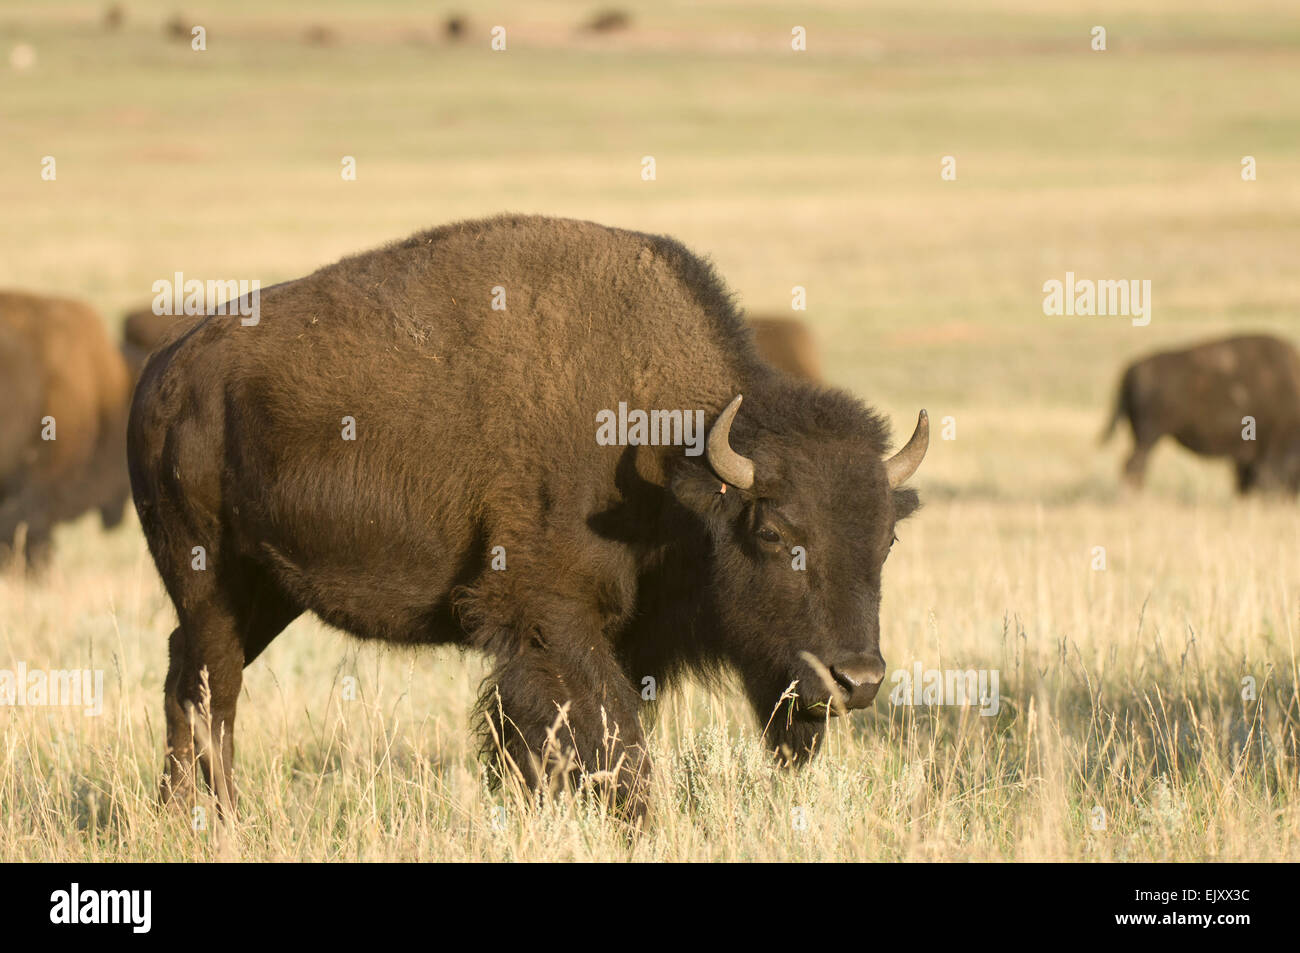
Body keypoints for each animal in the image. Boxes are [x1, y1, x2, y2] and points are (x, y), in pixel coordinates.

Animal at [129, 215, 928, 820]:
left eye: (887, 539)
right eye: (771, 532)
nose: (856, 679)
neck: (670, 449)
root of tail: (166, 372)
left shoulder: (622, 637)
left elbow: (540, 738)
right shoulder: (548, 614)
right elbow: (610, 736)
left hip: (264, 593)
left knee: (187, 677)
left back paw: (181, 814)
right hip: (208, 578)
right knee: (211, 687)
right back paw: (221, 817)